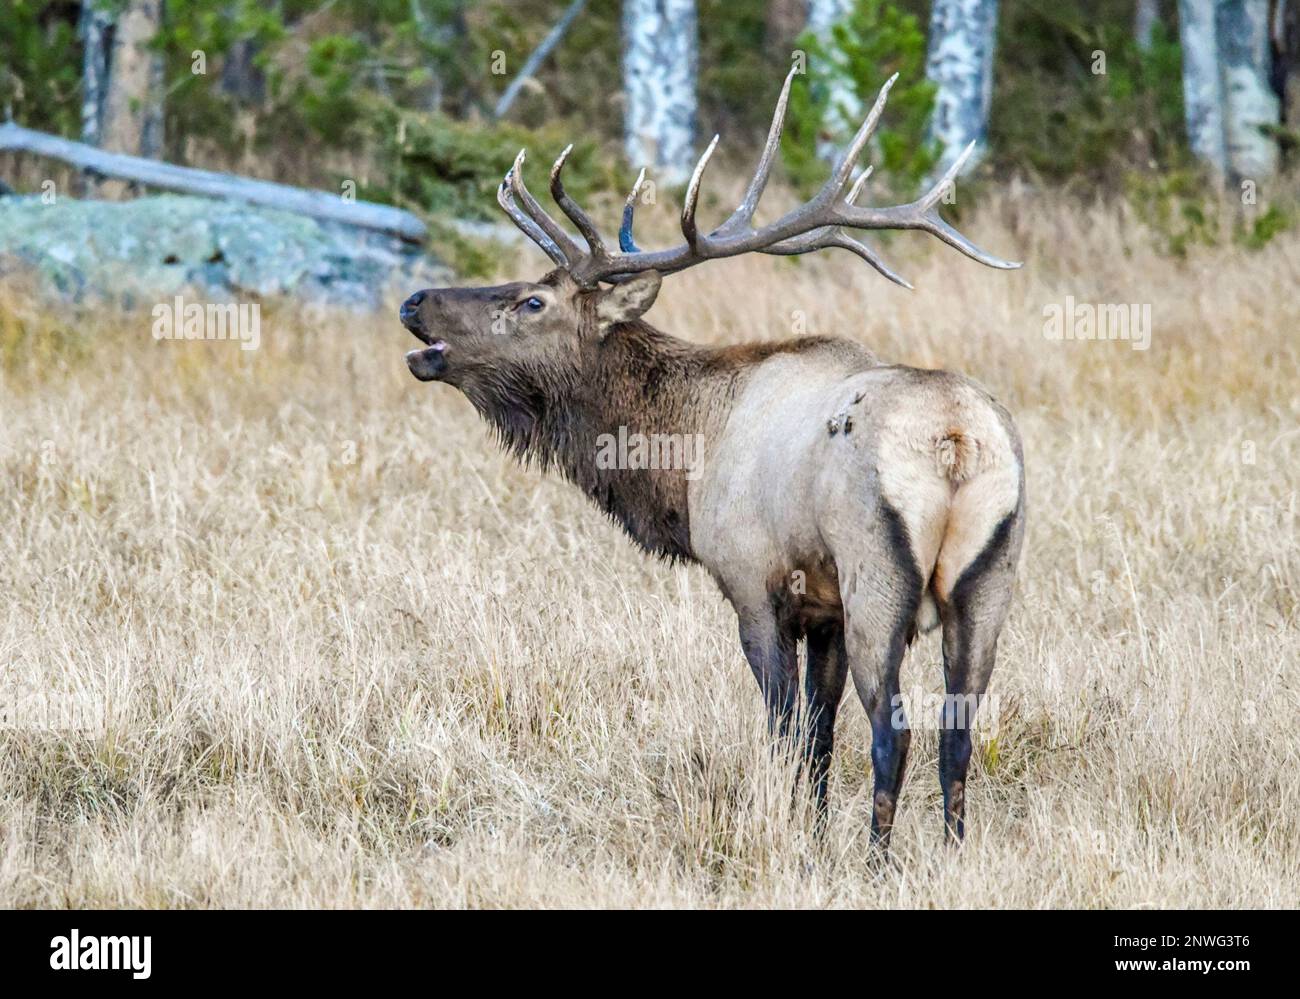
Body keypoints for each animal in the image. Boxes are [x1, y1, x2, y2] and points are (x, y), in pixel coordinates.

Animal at [399, 64, 1025, 849]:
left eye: (533, 301)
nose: (414, 301)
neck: (685, 457)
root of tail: (956, 439)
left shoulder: (752, 580)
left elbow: (785, 729)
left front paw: (790, 833)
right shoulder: (821, 609)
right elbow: (820, 734)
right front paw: (813, 831)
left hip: (877, 574)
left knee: (895, 732)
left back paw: (880, 860)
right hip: (990, 578)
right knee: (957, 733)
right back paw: (951, 852)